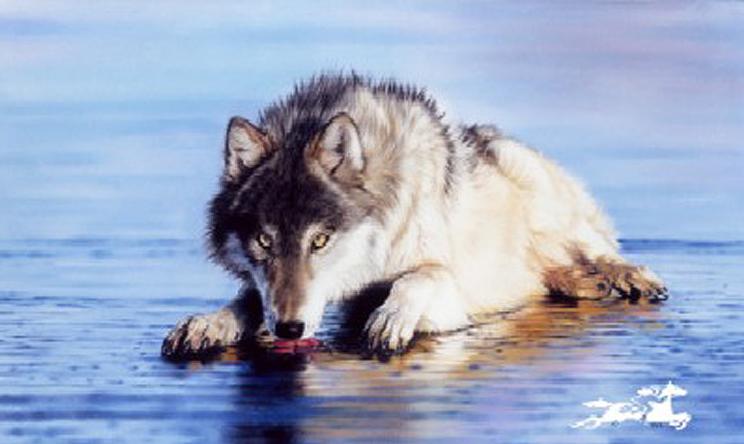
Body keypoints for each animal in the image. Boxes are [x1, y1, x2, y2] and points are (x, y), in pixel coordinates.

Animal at [161, 74, 667, 358]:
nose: (289, 328)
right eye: (264, 241)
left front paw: (390, 317)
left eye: (320, 240)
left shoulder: (447, 296)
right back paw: (582, 283)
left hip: (535, 187)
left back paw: (627, 277)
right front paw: (208, 323)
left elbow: (423, 275)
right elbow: (249, 299)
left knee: (597, 247)